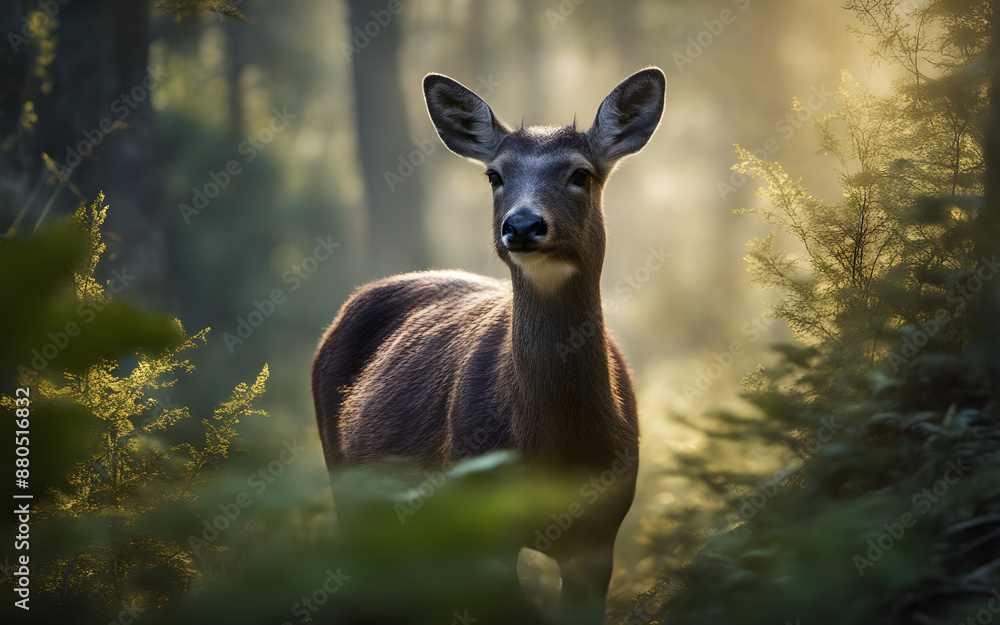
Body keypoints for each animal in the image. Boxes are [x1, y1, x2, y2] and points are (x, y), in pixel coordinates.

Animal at [312, 67, 665, 622]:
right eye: (495, 175)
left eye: (581, 174)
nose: (521, 224)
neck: (557, 449)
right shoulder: (480, 514)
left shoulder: (602, 528)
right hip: (347, 485)